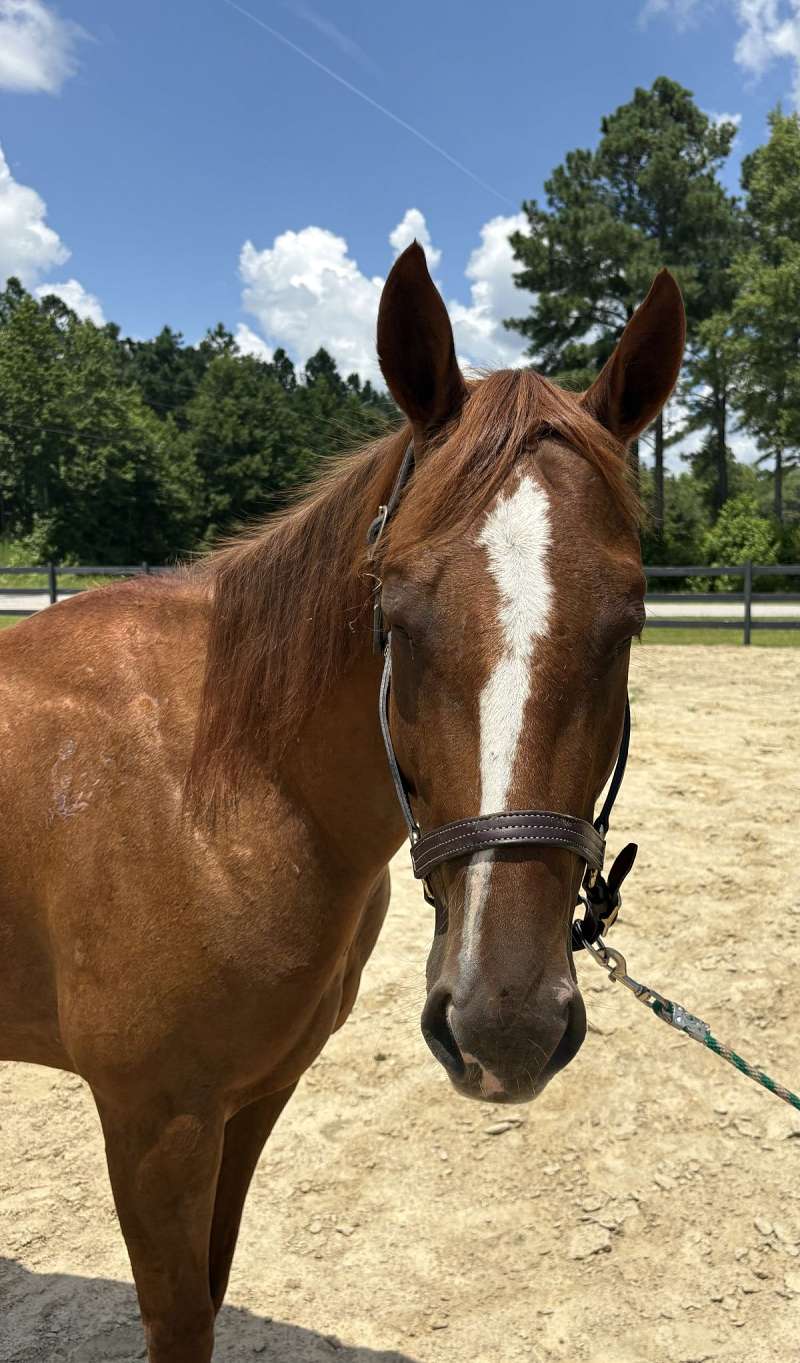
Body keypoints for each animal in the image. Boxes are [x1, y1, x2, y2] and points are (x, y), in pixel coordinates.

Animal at [0, 242, 684, 1362]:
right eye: (395, 612)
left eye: (627, 619)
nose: (505, 1028)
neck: (214, 783)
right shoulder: (152, 1120)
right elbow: (179, 1315)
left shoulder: (250, 1098)